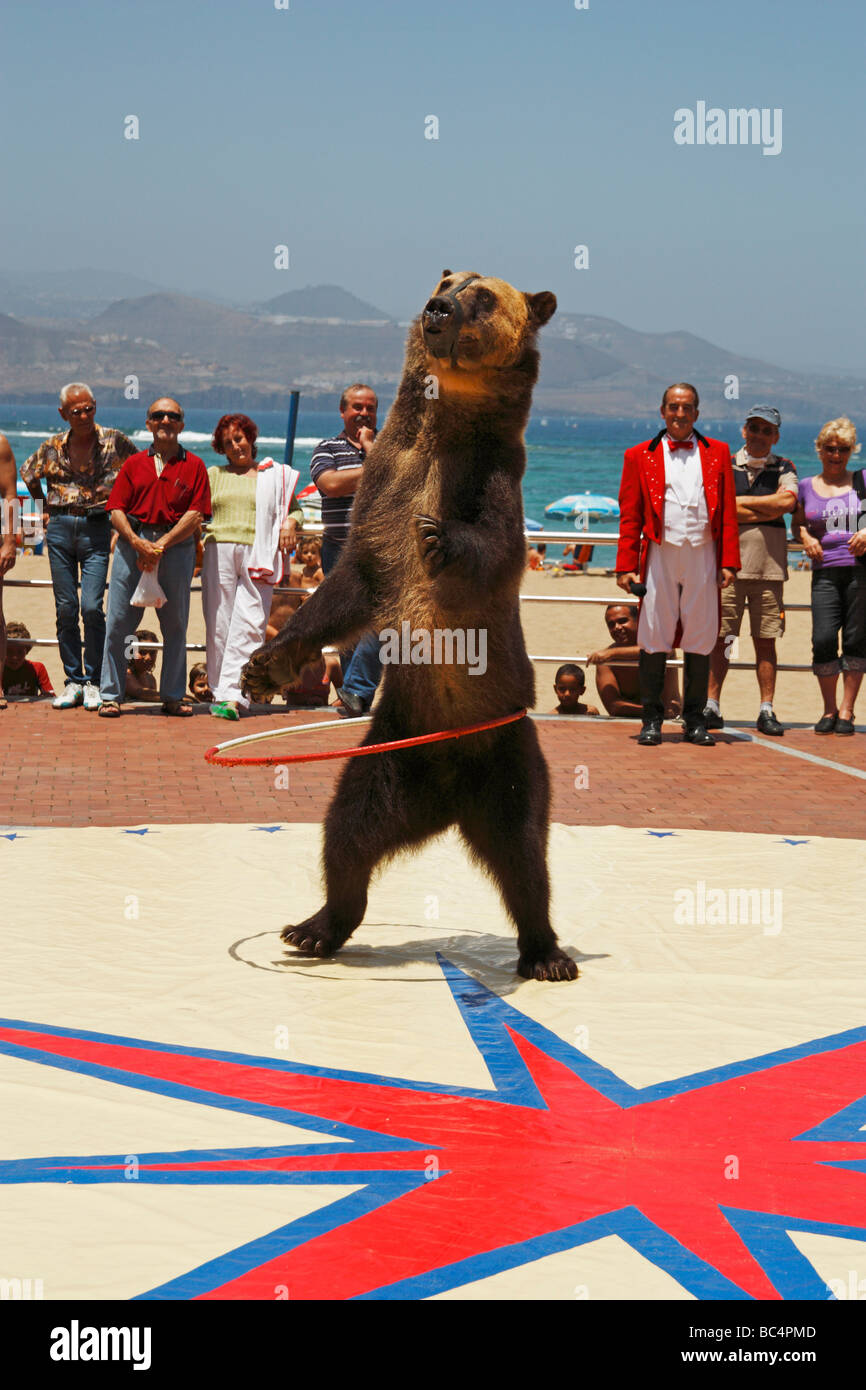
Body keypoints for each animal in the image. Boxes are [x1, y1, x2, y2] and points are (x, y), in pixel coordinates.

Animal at [241, 270, 578, 982]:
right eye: (449, 280)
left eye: (483, 296)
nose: (438, 307)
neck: (443, 430)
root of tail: (448, 804)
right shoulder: (383, 489)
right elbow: (349, 588)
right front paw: (266, 664)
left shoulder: (489, 478)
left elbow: (489, 551)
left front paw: (440, 540)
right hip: (392, 753)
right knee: (347, 831)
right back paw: (314, 927)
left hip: (504, 755)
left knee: (525, 856)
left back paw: (547, 952)